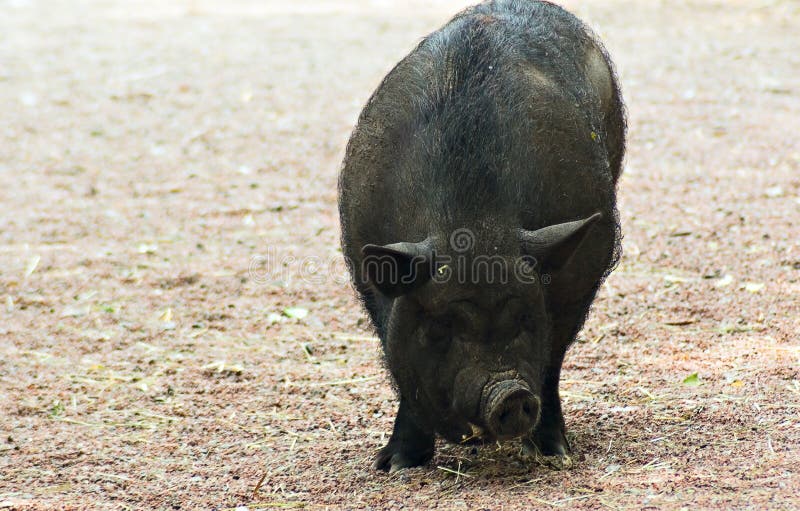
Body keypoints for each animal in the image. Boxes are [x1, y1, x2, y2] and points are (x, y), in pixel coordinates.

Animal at [338, 0, 626, 472]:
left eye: (525, 315)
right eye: (441, 327)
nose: (510, 394)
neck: (475, 225)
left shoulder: (575, 281)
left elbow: (551, 360)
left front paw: (554, 455)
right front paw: (396, 466)